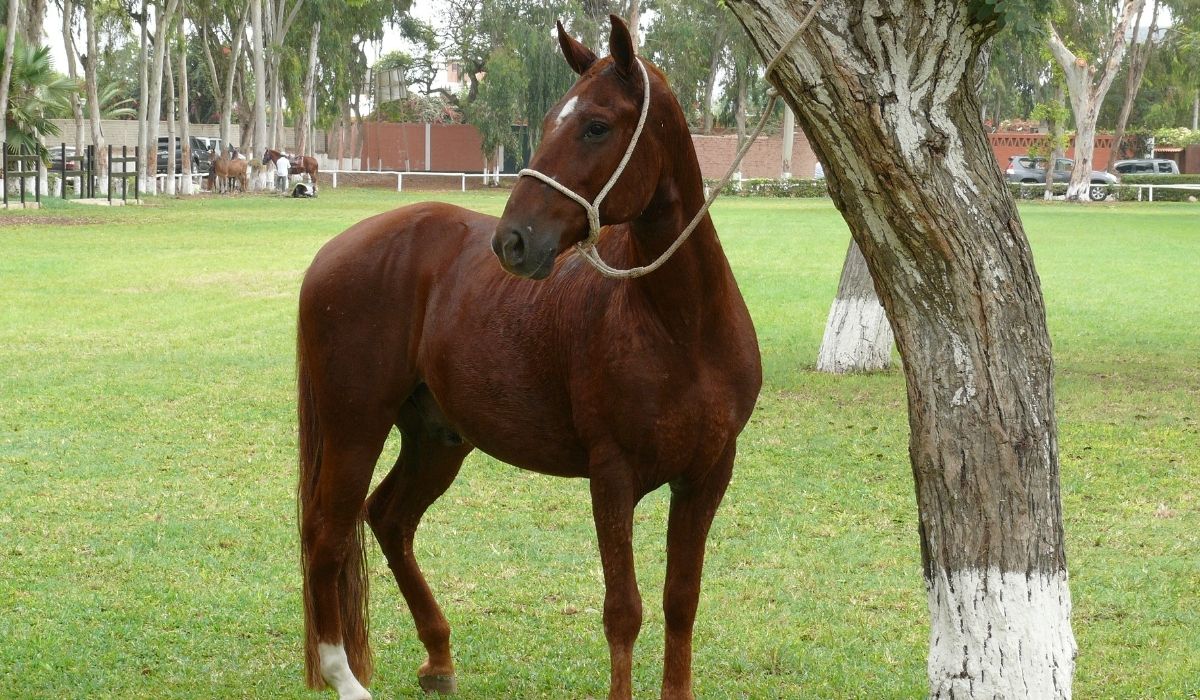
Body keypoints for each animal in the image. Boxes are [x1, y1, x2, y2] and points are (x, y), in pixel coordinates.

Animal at [296, 15, 761, 700]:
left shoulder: (707, 474)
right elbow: (623, 610)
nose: (512, 242)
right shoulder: (612, 474)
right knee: (327, 535)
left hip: (437, 439)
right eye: (545, 123)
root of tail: (331, 253)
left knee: (388, 519)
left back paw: (438, 655)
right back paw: (343, 676)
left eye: (596, 125)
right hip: (356, 426)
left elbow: (681, 601)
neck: (682, 326)